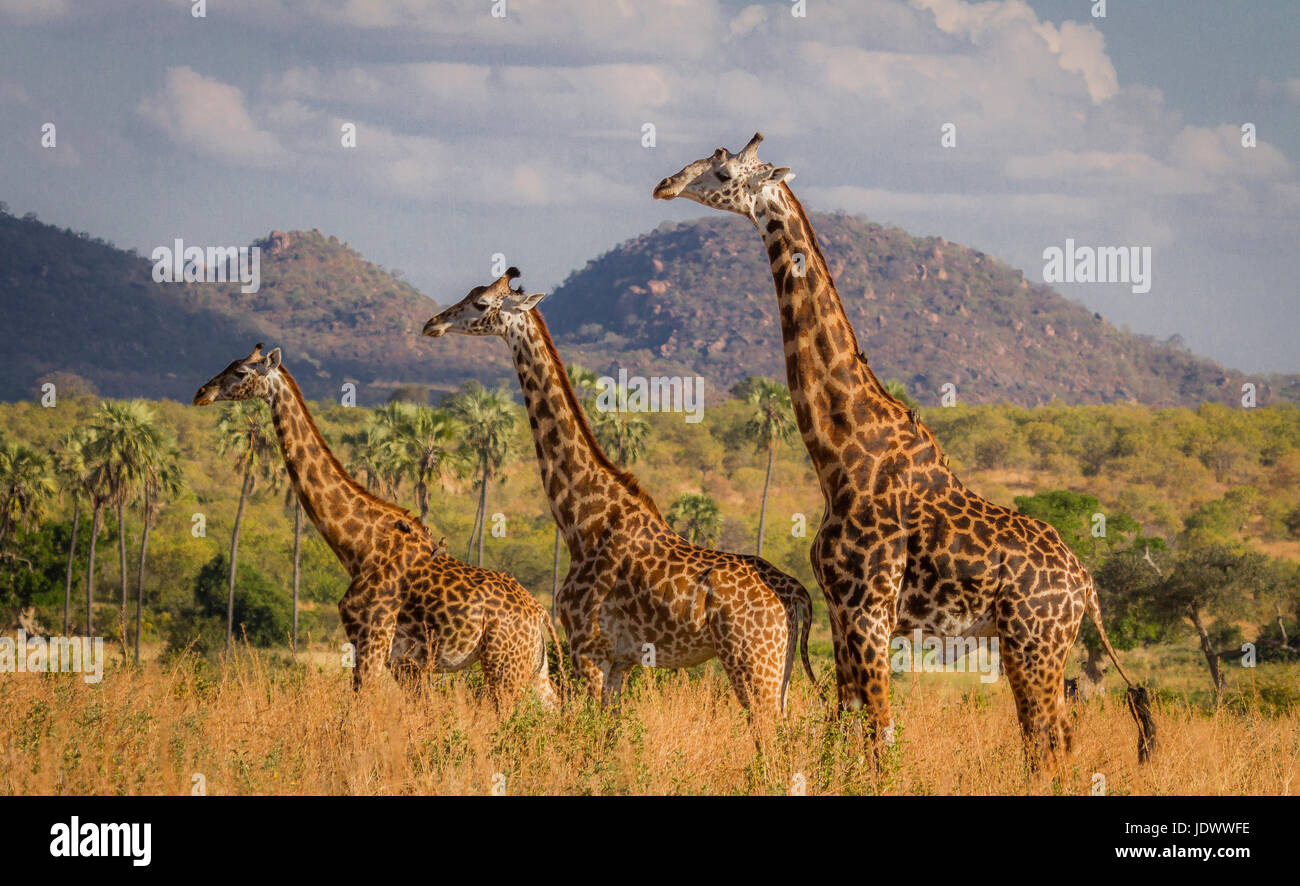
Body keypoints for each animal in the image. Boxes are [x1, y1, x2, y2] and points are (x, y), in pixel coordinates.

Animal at [193, 344, 565, 710]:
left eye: (241, 371)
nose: (201, 393)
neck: (359, 545)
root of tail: (540, 614)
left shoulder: (372, 639)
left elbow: (358, 710)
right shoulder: (405, 662)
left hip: (503, 668)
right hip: (535, 669)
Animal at [422, 271, 821, 724]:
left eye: (481, 303)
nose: (432, 323)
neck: (582, 519)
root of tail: (796, 592)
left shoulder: (588, 650)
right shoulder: (620, 663)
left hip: (753, 662)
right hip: (780, 667)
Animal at [654, 134, 1155, 764]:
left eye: (722, 172)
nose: (665, 184)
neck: (841, 453)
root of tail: (1086, 586)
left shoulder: (870, 611)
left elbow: (882, 735)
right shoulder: (842, 611)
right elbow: (846, 727)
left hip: (1032, 640)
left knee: (1048, 737)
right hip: (1038, 644)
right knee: (1052, 735)